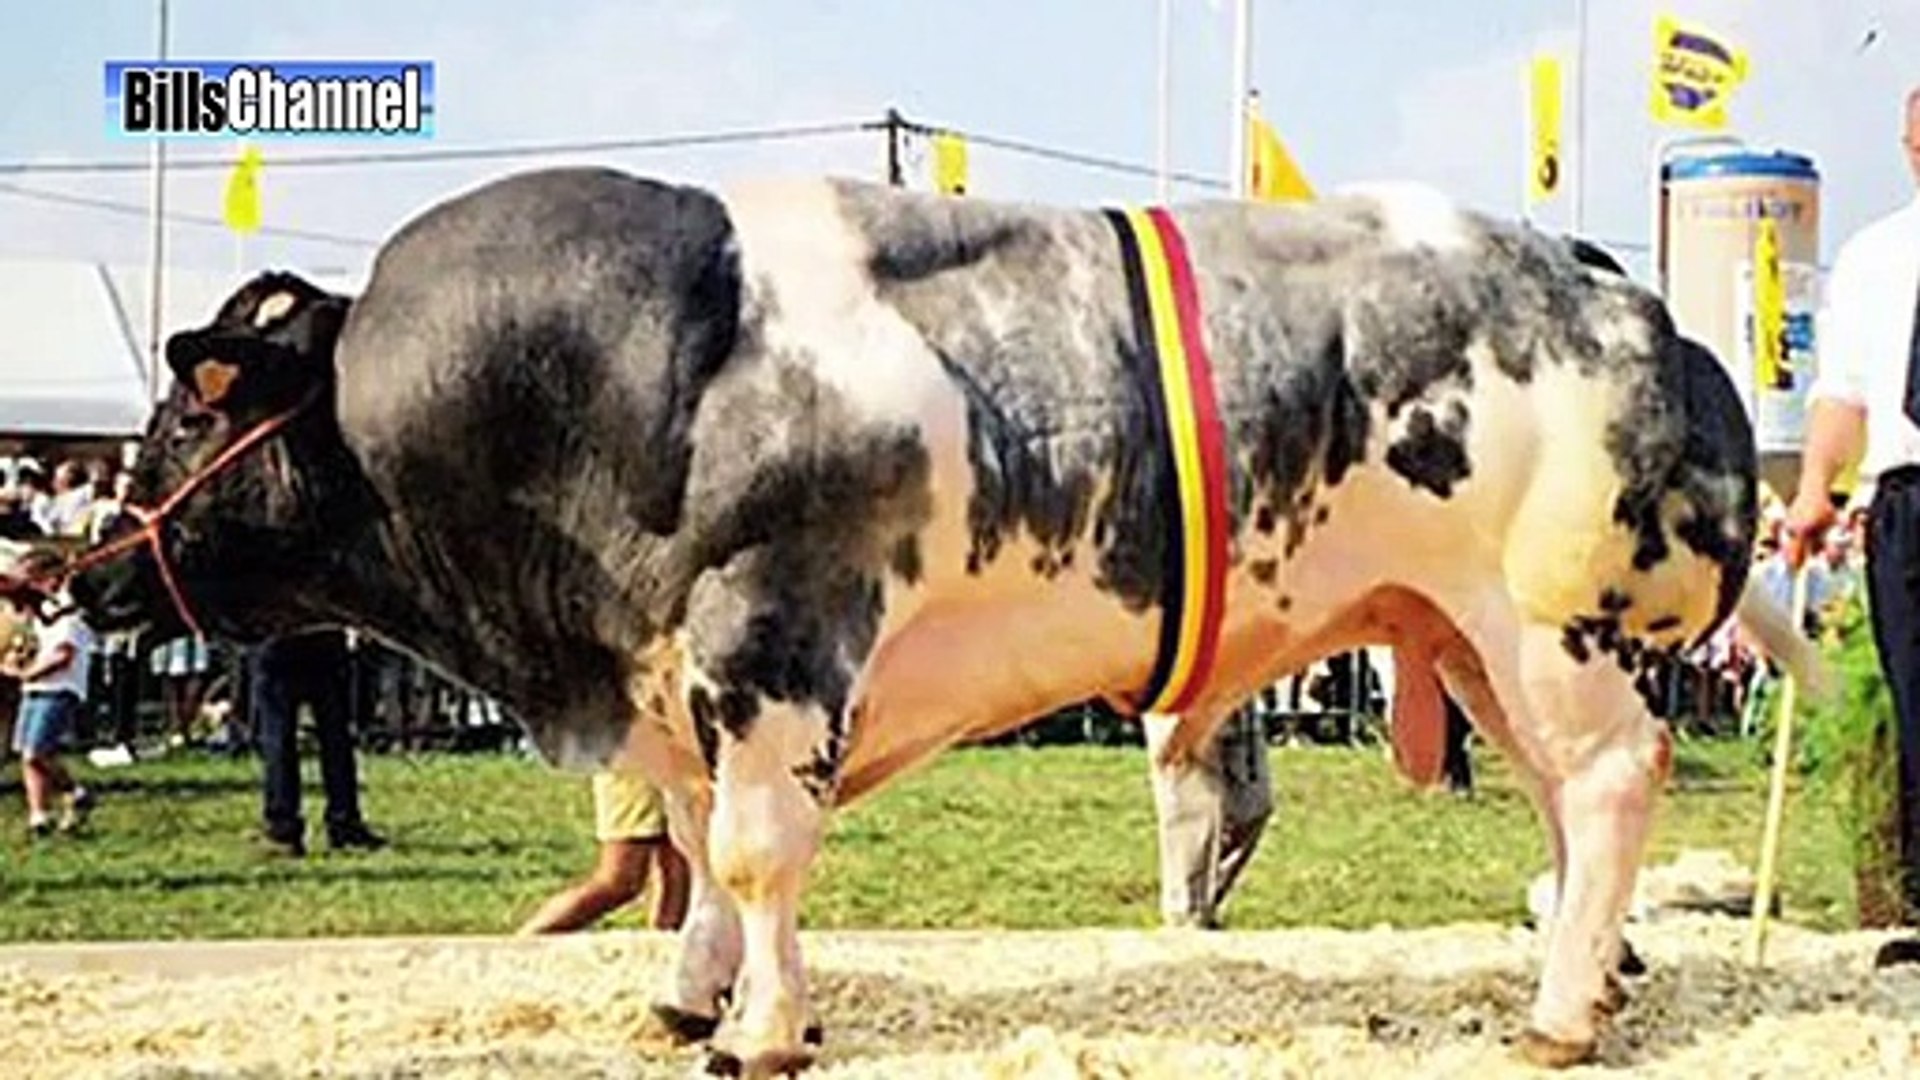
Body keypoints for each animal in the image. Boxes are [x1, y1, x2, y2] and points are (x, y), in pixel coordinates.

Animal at [64, 166, 1821, 1076]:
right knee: (1563, 805)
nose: (78, 578)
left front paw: (762, 1029)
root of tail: (1603, 278)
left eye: (182, 417)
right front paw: (687, 995)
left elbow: (755, 852)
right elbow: (696, 850)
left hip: (1559, 624)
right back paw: (1596, 978)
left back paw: (1561, 1015)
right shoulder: (675, 681)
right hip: (1463, 633)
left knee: (1607, 788)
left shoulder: (771, 642)